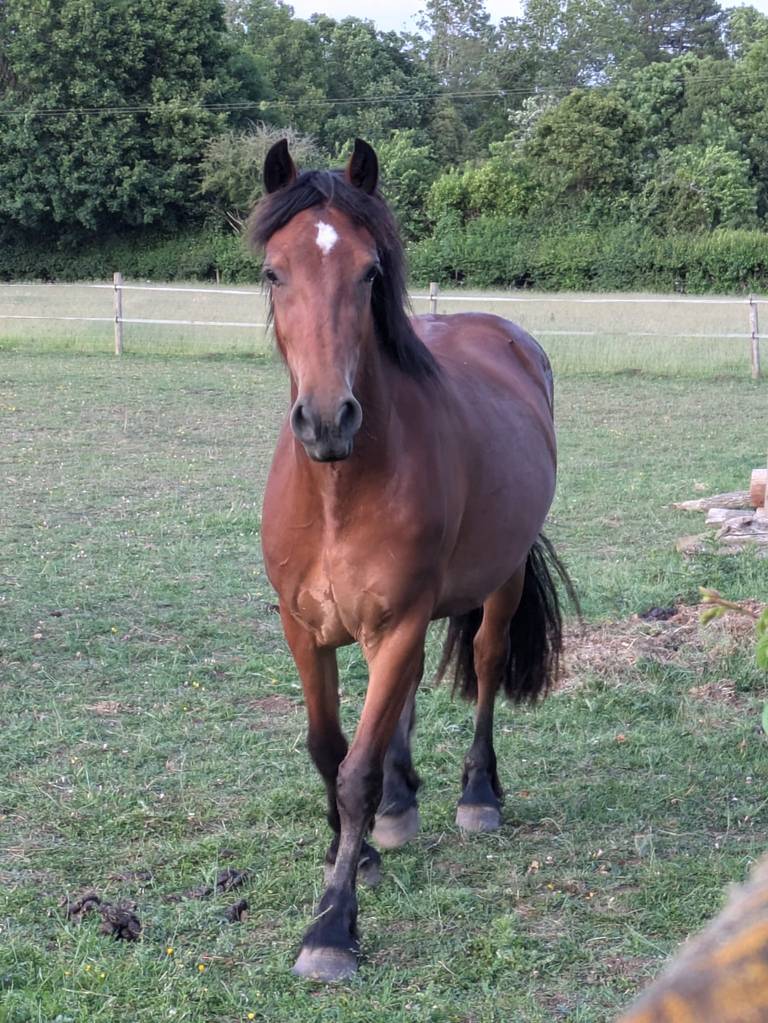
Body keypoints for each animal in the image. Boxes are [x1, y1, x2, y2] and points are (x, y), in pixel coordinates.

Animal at [249, 138, 573, 982]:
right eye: (274, 271)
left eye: (369, 272)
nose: (327, 418)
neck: (338, 488)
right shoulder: (304, 630)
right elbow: (328, 750)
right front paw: (355, 854)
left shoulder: (396, 622)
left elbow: (356, 768)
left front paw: (331, 926)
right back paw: (400, 808)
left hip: (498, 581)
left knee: (485, 666)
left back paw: (476, 795)